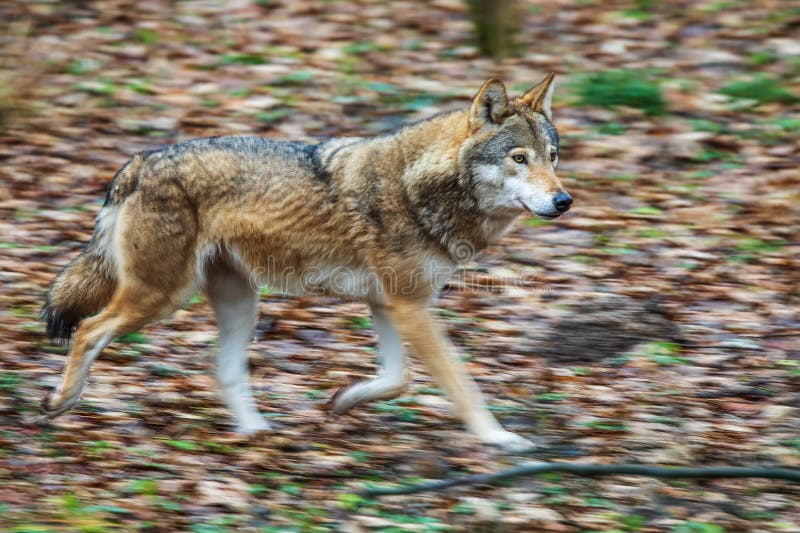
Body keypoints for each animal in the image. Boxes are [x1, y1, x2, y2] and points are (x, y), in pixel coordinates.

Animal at [40, 74, 571, 451]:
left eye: (552, 156)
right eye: (519, 158)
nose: (564, 200)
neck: (418, 189)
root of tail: (141, 160)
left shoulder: (392, 305)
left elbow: (397, 379)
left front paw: (342, 402)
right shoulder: (408, 308)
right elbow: (461, 386)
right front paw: (499, 438)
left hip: (238, 304)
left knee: (224, 370)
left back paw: (257, 434)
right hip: (161, 297)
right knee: (89, 329)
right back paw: (62, 402)